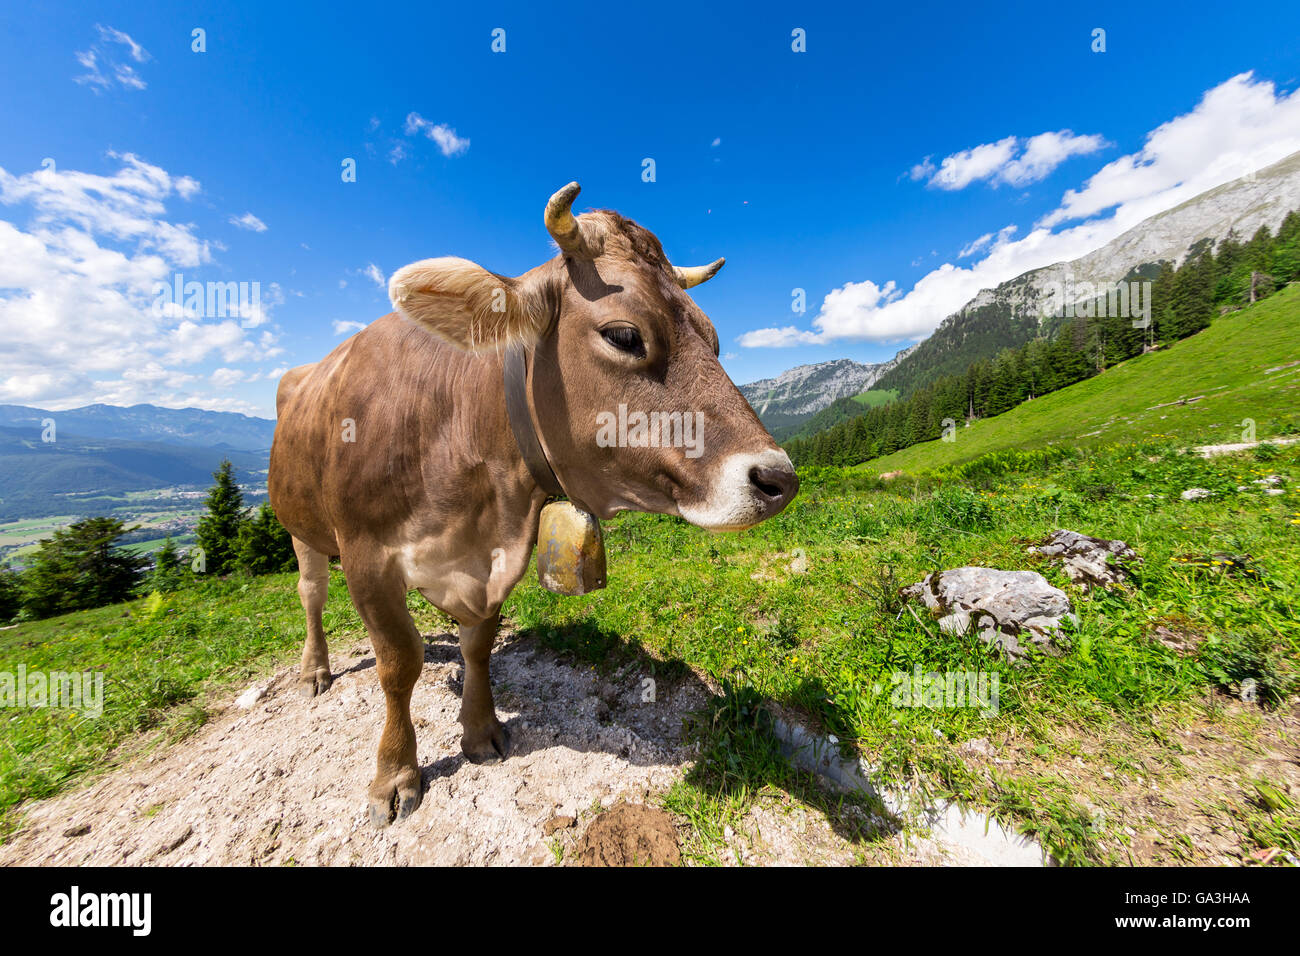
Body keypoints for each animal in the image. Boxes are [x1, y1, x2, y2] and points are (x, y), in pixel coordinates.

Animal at [268, 183, 798, 826]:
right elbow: (399, 664)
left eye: (715, 340)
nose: (779, 479)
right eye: (624, 336)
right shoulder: (368, 557)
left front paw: (480, 730)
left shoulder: (498, 558)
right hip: (302, 528)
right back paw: (314, 670)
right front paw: (395, 774)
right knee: (311, 593)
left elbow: (477, 644)